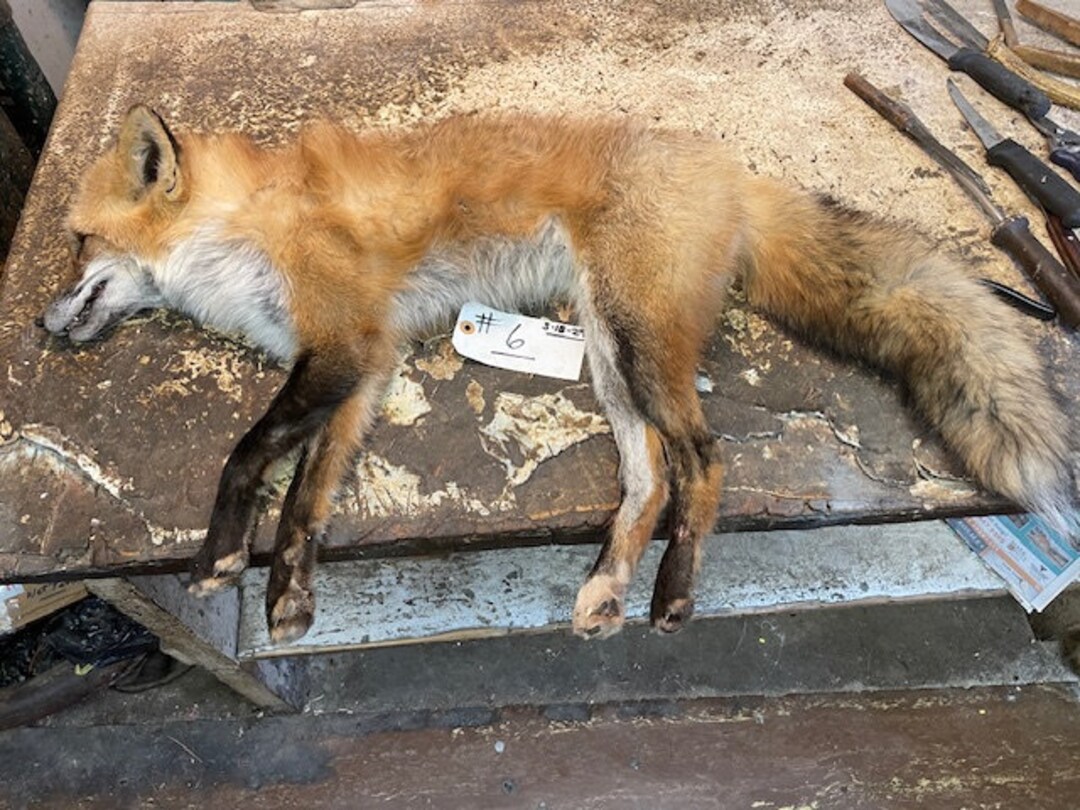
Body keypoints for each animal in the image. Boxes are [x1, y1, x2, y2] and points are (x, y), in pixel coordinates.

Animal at [43, 105, 1077, 645]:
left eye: (79, 243)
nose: (46, 328)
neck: (244, 225)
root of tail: (731, 170)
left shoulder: (336, 347)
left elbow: (246, 455)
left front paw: (219, 558)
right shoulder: (364, 366)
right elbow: (307, 495)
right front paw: (288, 597)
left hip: (638, 344)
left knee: (706, 462)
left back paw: (671, 597)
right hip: (613, 358)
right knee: (649, 478)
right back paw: (607, 587)